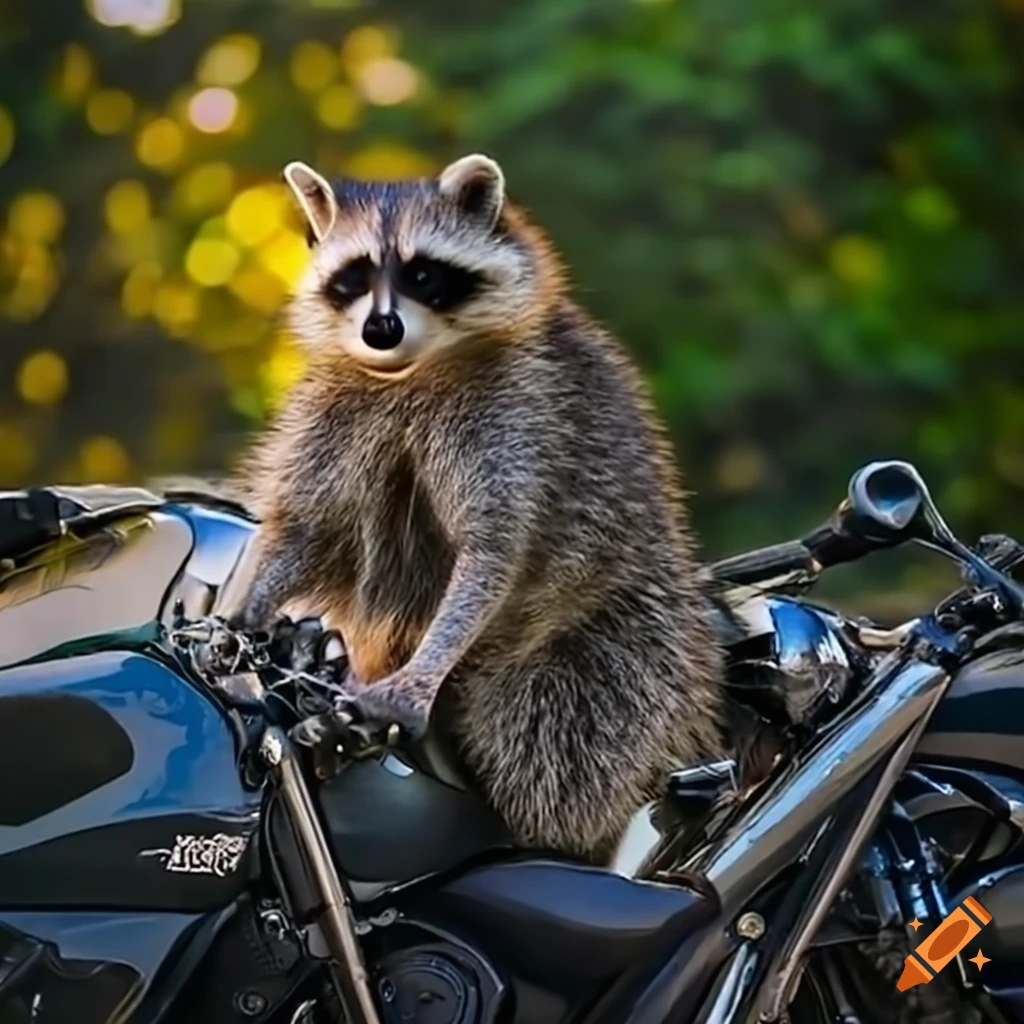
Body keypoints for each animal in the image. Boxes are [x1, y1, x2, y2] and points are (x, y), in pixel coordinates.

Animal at [234, 153, 726, 863]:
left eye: (423, 274)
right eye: (354, 277)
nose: (380, 329)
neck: (408, 370)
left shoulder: (516, 412)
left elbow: (492, 549)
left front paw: (425, 669)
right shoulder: (339, 406)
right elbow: (310, 526)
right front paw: (246, 611)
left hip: (627, 645)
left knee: (559, 746)